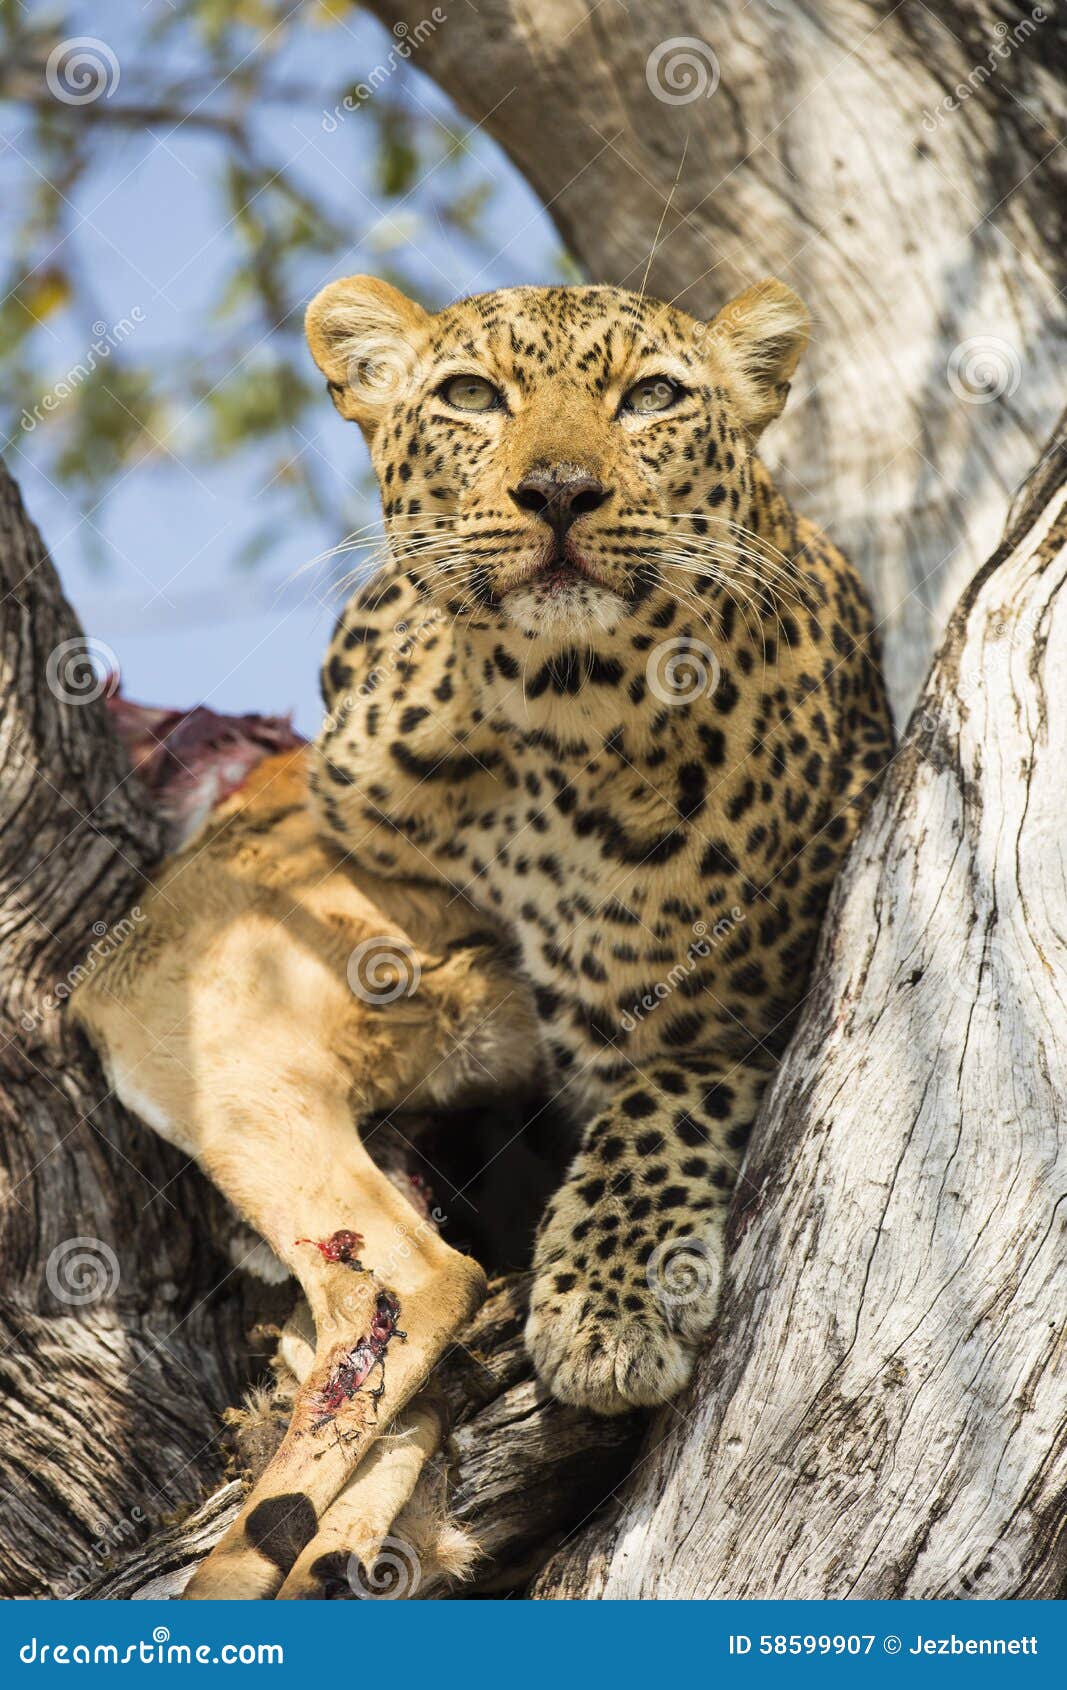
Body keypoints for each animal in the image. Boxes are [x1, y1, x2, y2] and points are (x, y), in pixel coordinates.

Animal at [303, 273, 894, 1416]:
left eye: (652, 395)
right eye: (472, 394)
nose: (560, 491)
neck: (552, 719)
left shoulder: (761, 1018)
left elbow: (660, 1098)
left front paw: (607, 1310)